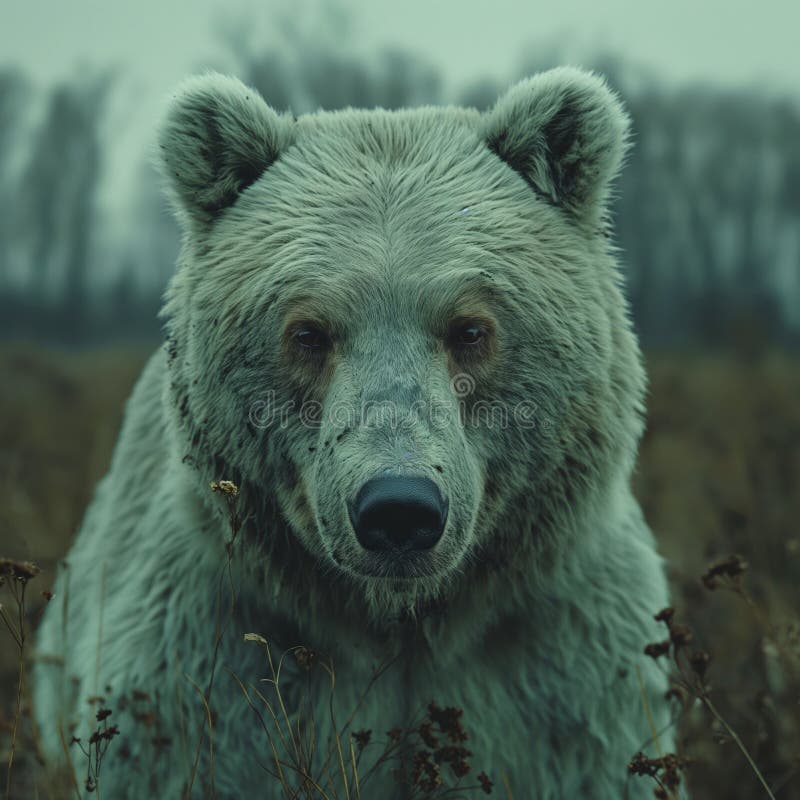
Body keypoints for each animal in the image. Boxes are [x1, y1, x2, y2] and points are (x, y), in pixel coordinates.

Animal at [34, 68, 674, 799]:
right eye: (308, 331)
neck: (397, 619)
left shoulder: (563, 672)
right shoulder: (215, 665)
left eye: (470, 328)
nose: (399, 508)